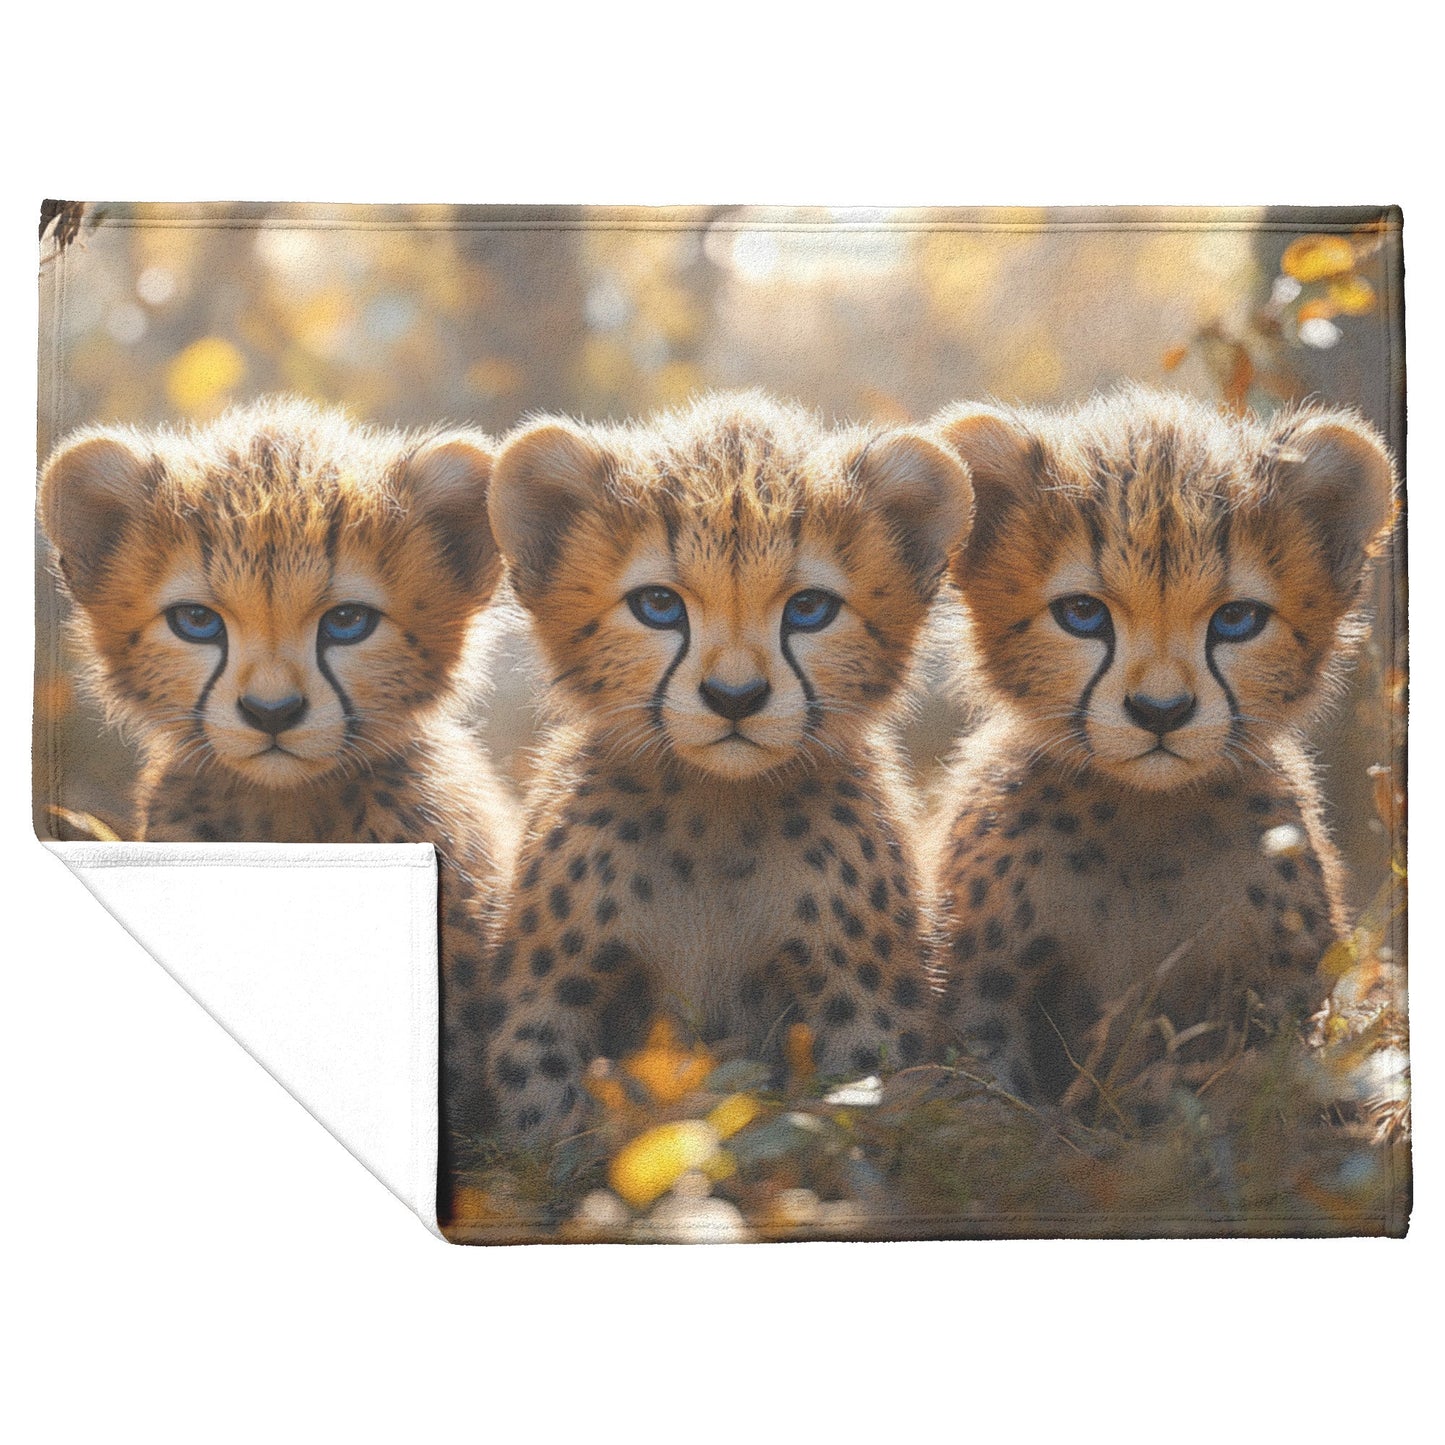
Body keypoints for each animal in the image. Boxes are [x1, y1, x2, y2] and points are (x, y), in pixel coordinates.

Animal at [477, 391, 975, 1142]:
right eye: (658, 604)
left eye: (809, 608)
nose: (734, 697)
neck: (714, 809)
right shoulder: (550, 989)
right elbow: (545, 1107)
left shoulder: (860, 999)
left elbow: (858, 1095)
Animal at [928, 386, 1397, 1111]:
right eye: (1082, 614)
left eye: (1237, 619)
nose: (1160, 712)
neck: (1142, 821)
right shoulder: (982, 983)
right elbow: (980, 1090)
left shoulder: (1278, 993)